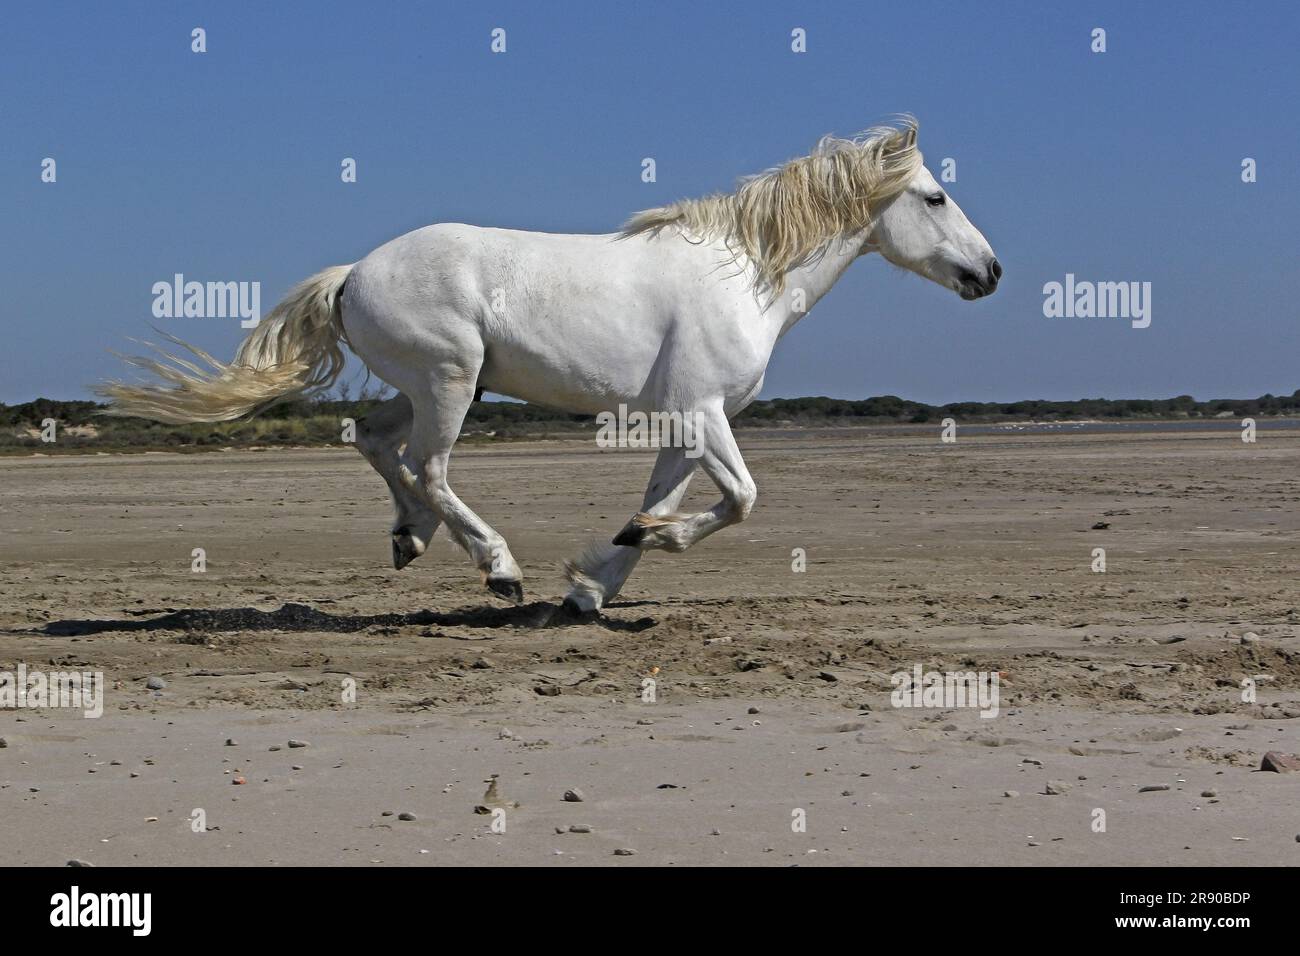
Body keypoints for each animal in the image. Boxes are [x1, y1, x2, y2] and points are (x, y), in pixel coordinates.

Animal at [99, 118, 1000, 613]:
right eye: (935, 197)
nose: (989, 273)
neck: (745, 277)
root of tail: (354, 273)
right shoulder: (705, 413)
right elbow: (742, 499)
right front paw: (614, 561)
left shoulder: (683, 423)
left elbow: (658, 502)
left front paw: (596, 580)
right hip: (449, 382)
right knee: (429, 466)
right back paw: (495, 568)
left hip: (433, 385)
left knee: (377, 443)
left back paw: (412, 539)